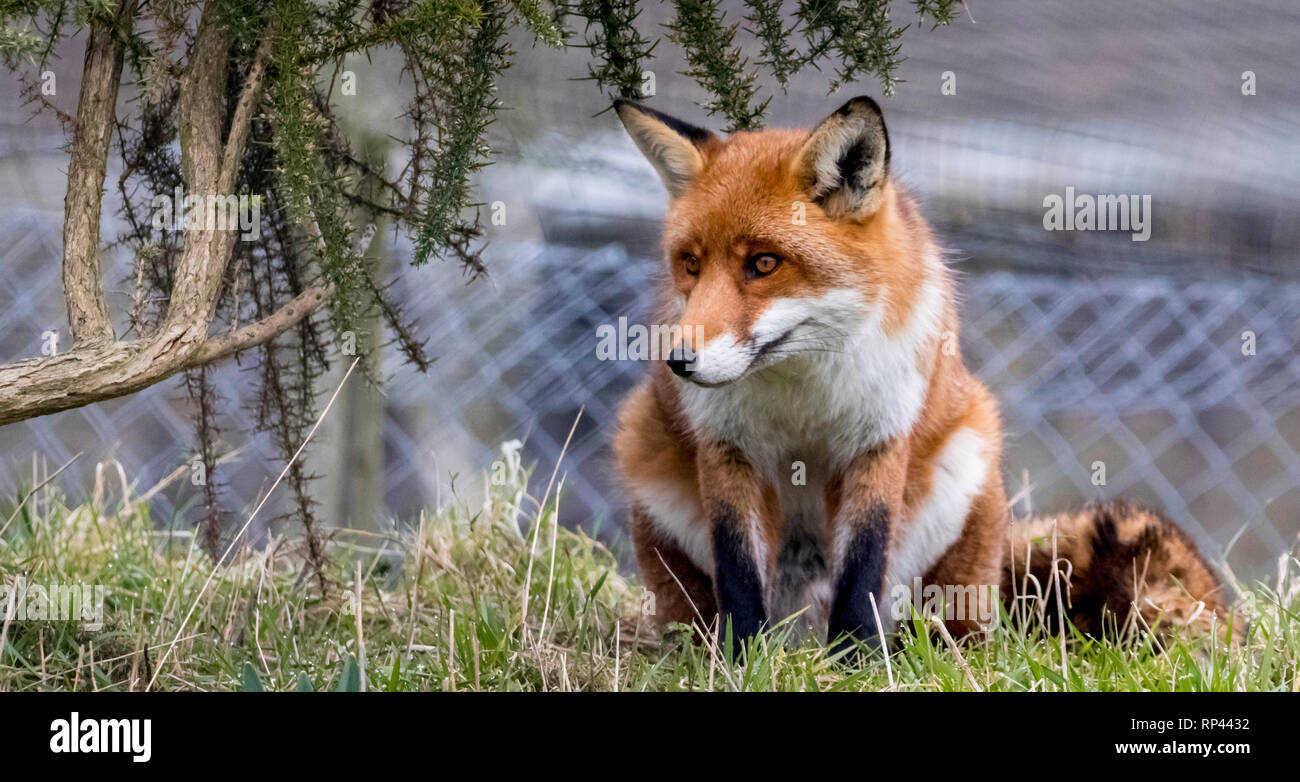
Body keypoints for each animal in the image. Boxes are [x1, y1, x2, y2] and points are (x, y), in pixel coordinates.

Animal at [610, 96, 1235, 653]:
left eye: (764, 263)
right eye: (691, 264)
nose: (679, 361)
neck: (801, 389)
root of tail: (801, 629)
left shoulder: (880, 439)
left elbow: (862, 568)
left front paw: (855, 661)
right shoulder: (727, 447)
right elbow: (738, 573)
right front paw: (740, 660)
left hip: (970, 461)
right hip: (643, 448)